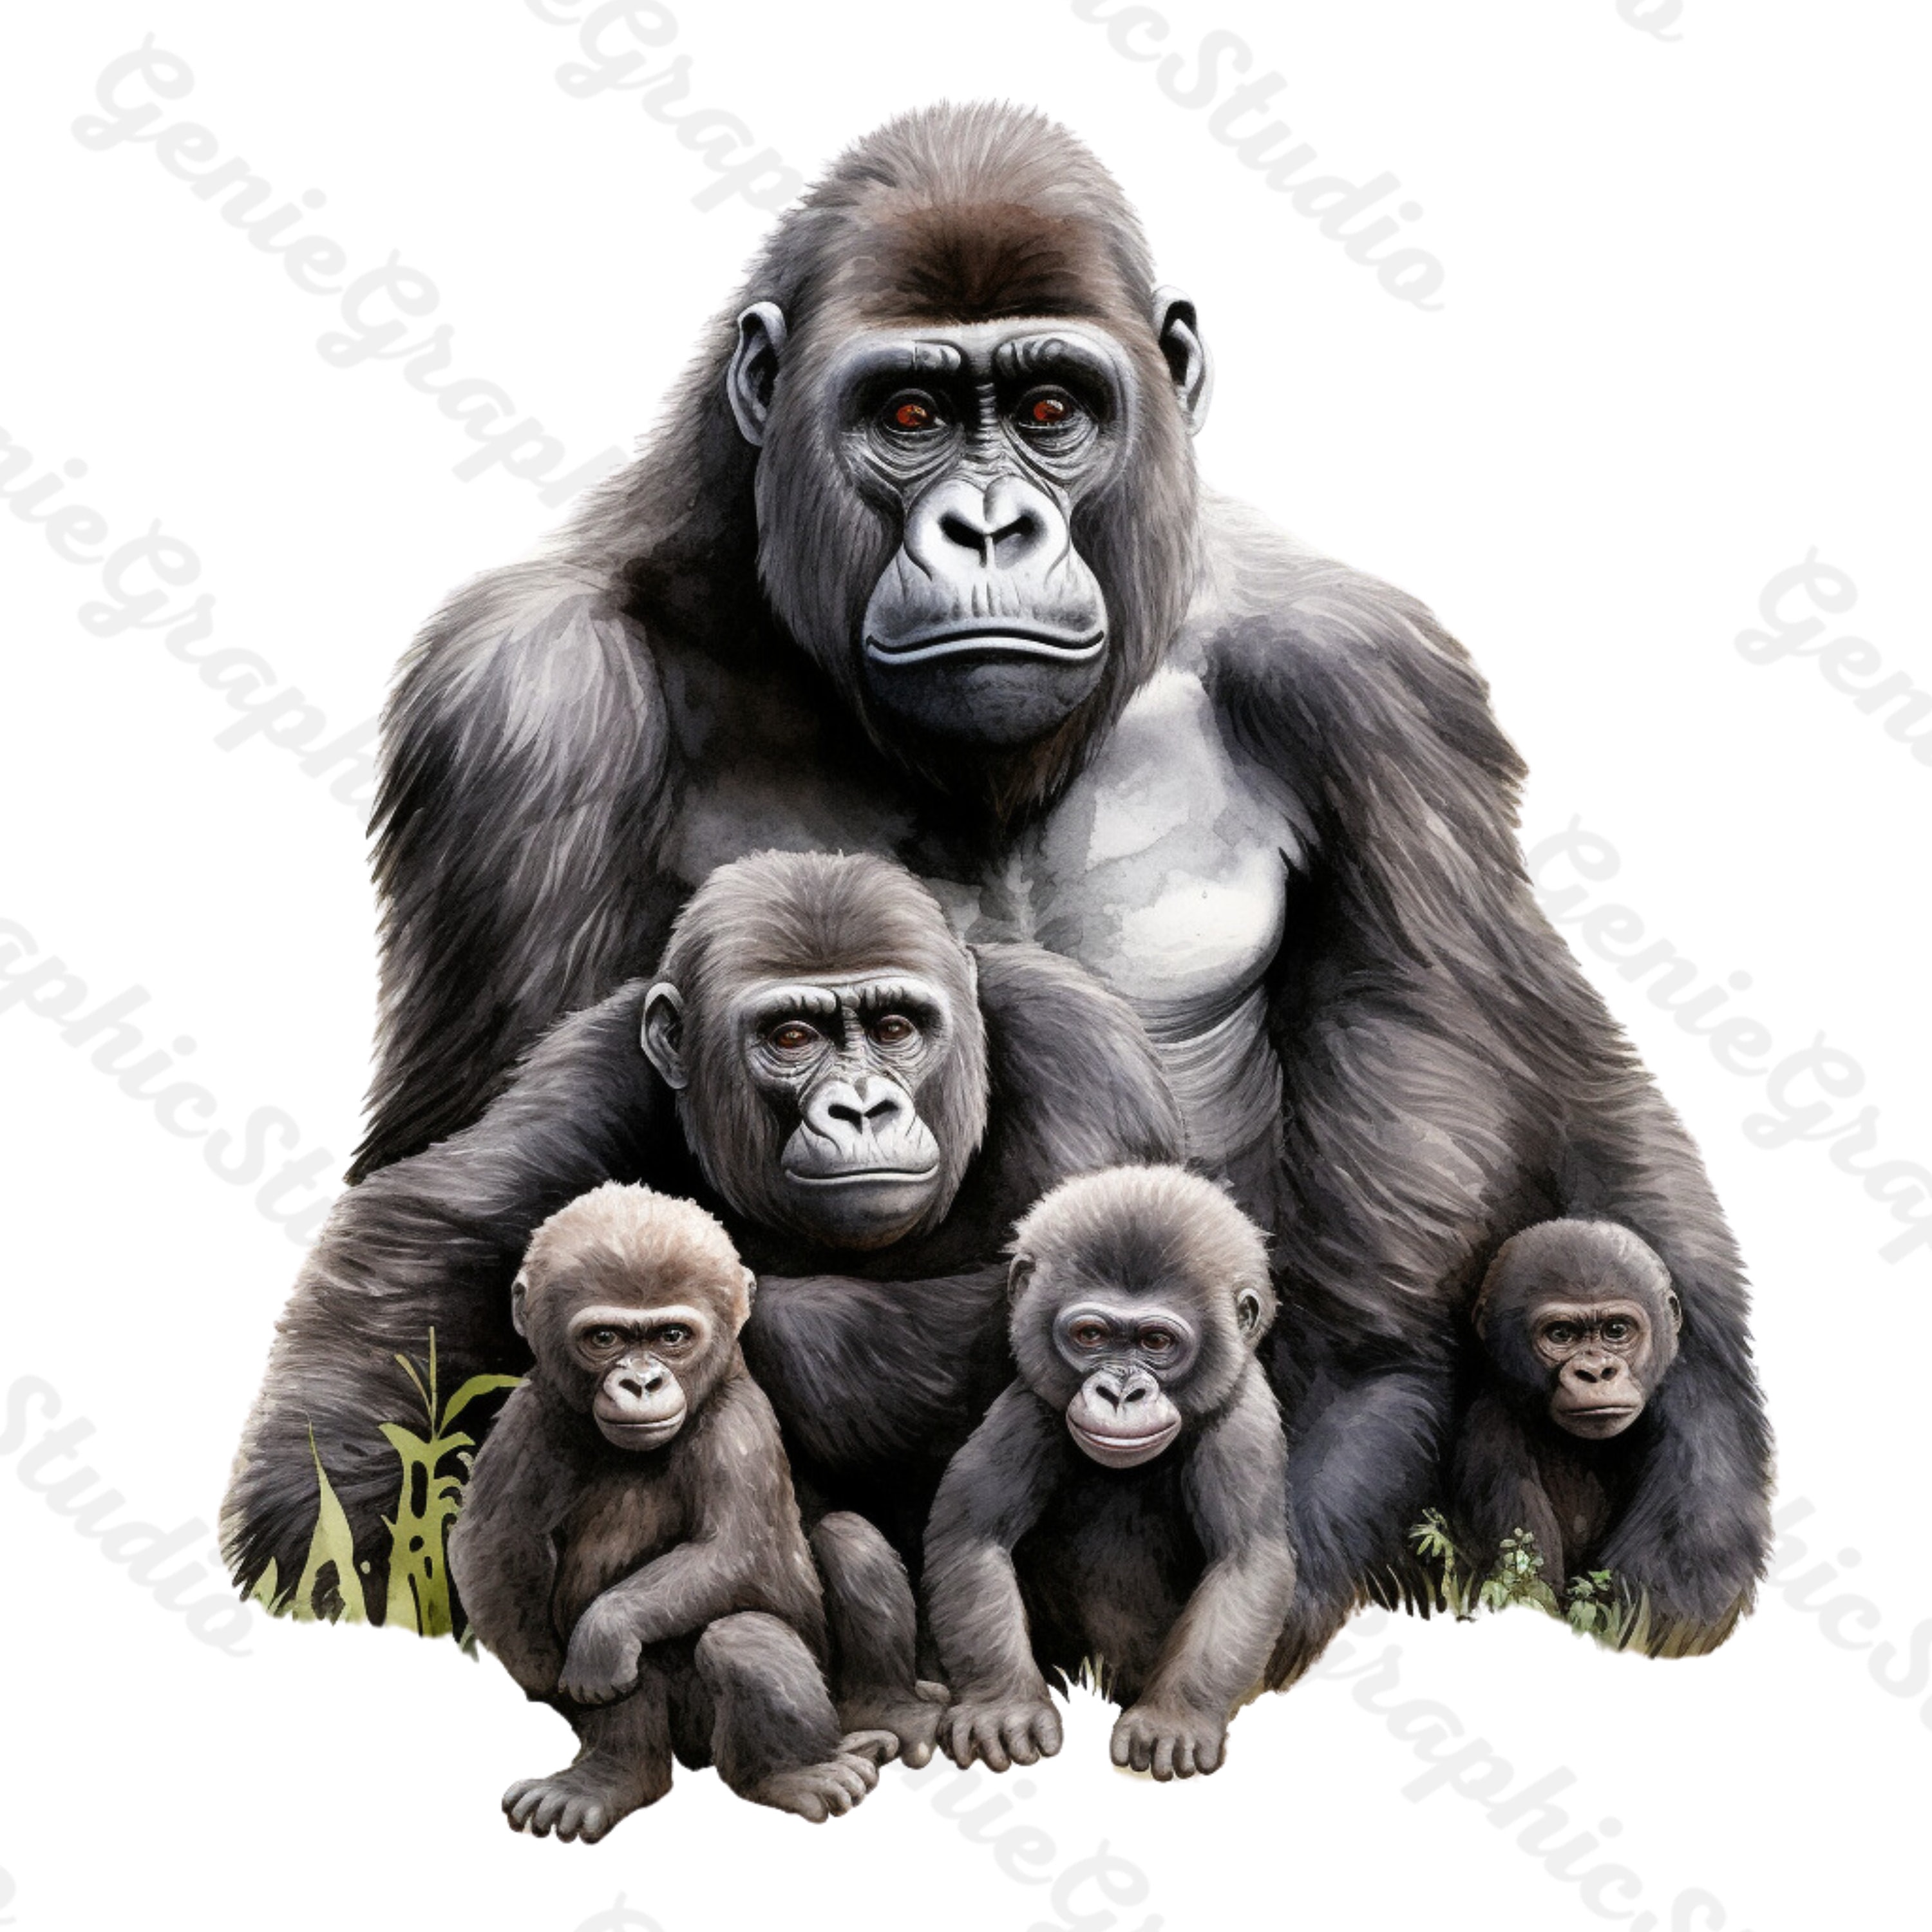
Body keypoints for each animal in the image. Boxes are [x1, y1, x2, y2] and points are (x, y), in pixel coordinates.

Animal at [447, 1183, 895, 1840]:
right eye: (605, 1339)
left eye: (672, 1337)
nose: (641, 1383)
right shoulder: (531, 1411)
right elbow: (494, 1543)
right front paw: (542, 1670)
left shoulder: (738, 1424)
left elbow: (730, 1551)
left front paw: (603, 1633)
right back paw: (608, 1775)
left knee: (743, 1635)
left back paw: (795, 1775)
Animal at [922, 1166, 1296, 1781]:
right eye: (1092, 1336)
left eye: (1157, 1342)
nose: (1121, 1393)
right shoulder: (1033, 1402)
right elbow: (972, 1536)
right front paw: (1003, 1707)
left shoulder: (1243, 1419)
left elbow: (1246, 1561)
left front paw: (1174, 1718)